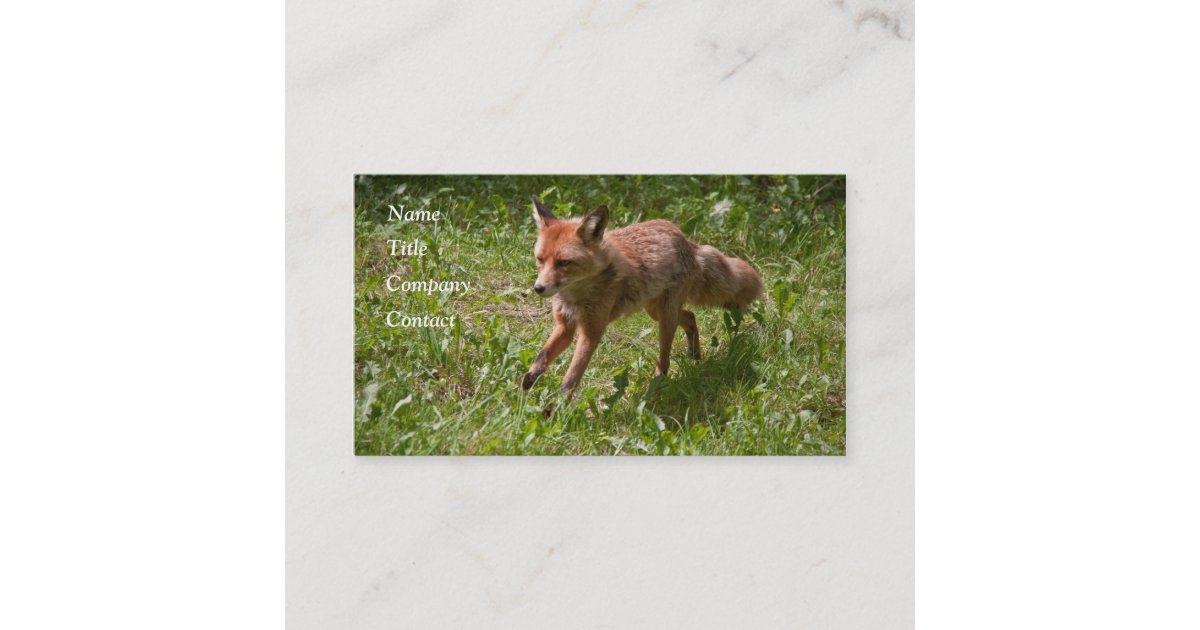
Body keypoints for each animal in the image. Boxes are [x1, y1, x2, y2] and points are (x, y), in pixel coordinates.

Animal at [521, 195, 764, 397]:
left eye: (564, 263)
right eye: (540, 260)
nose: (538, 288)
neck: (575, 297)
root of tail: (685, 239)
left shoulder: (591, 331)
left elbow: (570, 379)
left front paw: (557, 409)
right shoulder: (566, 326)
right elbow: (542, 356)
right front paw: (527, 382)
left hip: (664, 320)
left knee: (665, 359)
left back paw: (657, 385)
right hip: (655, 311)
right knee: (690, 316)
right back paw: (695, 355)